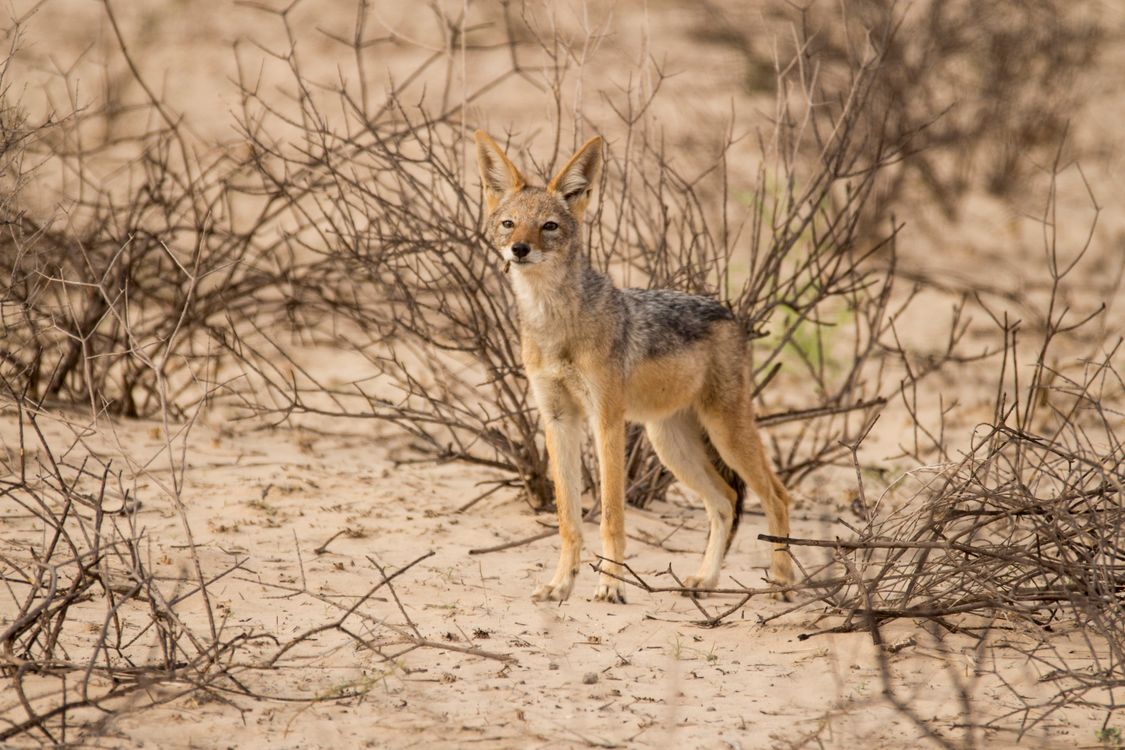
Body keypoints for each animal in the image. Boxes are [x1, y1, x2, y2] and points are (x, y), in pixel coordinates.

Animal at [474, 130, 793, 603]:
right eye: (509, 223)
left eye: (549, 226)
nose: (519, 249)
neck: (555, 324)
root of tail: (730, 314)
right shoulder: (558, 421)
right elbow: (568, 519)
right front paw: (561, 585)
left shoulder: (606, 421)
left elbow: (610, 516)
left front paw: (610, 586)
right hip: (671, 444)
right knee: (725, 502)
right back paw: (706, 579)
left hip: (725, 434)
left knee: (776, 496)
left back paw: (782, 584)